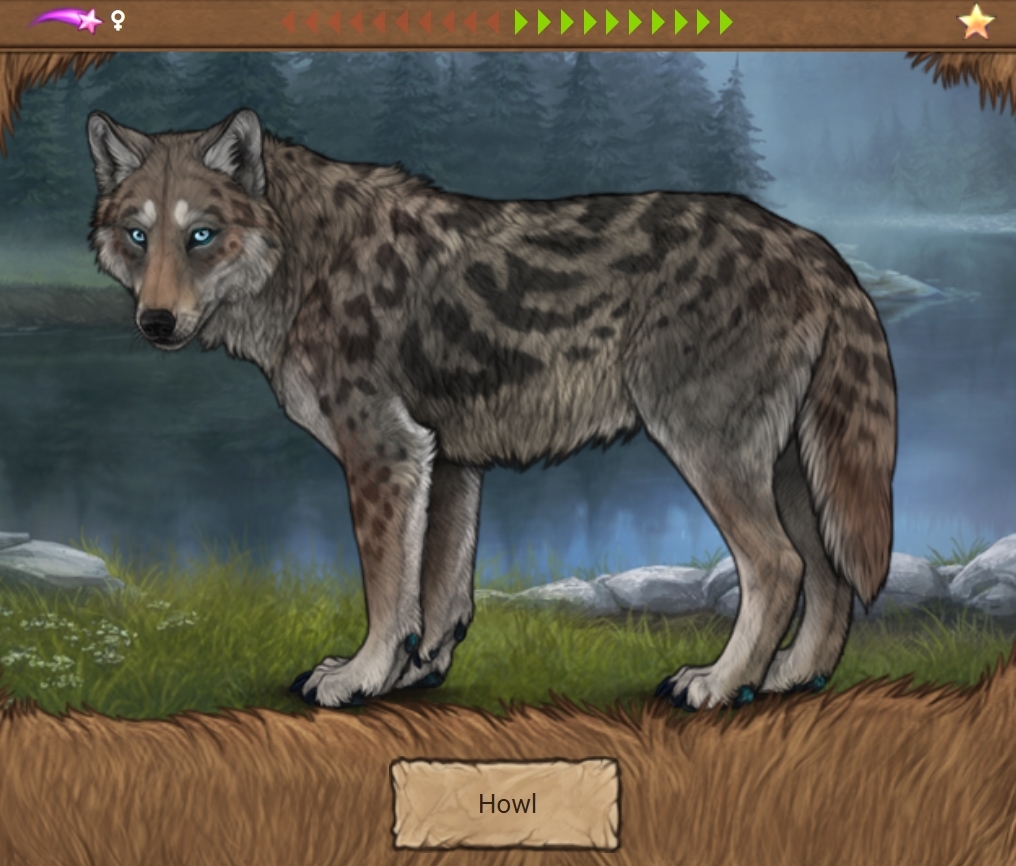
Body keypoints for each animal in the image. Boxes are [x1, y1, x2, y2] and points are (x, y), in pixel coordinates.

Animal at [86, 108, 896, 711]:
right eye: (138, 235)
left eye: (201, 235)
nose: (156, 322)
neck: (306, 260)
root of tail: (810, 243)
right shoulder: (446, 460)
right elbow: (437, 595)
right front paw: (410, 676)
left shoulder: (385, 452)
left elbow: (388, 591)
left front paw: (358, 677)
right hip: (790, 473)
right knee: (827, 574)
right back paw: (791, 677)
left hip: (712, 456)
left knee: (779, 567)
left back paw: (721, 684)